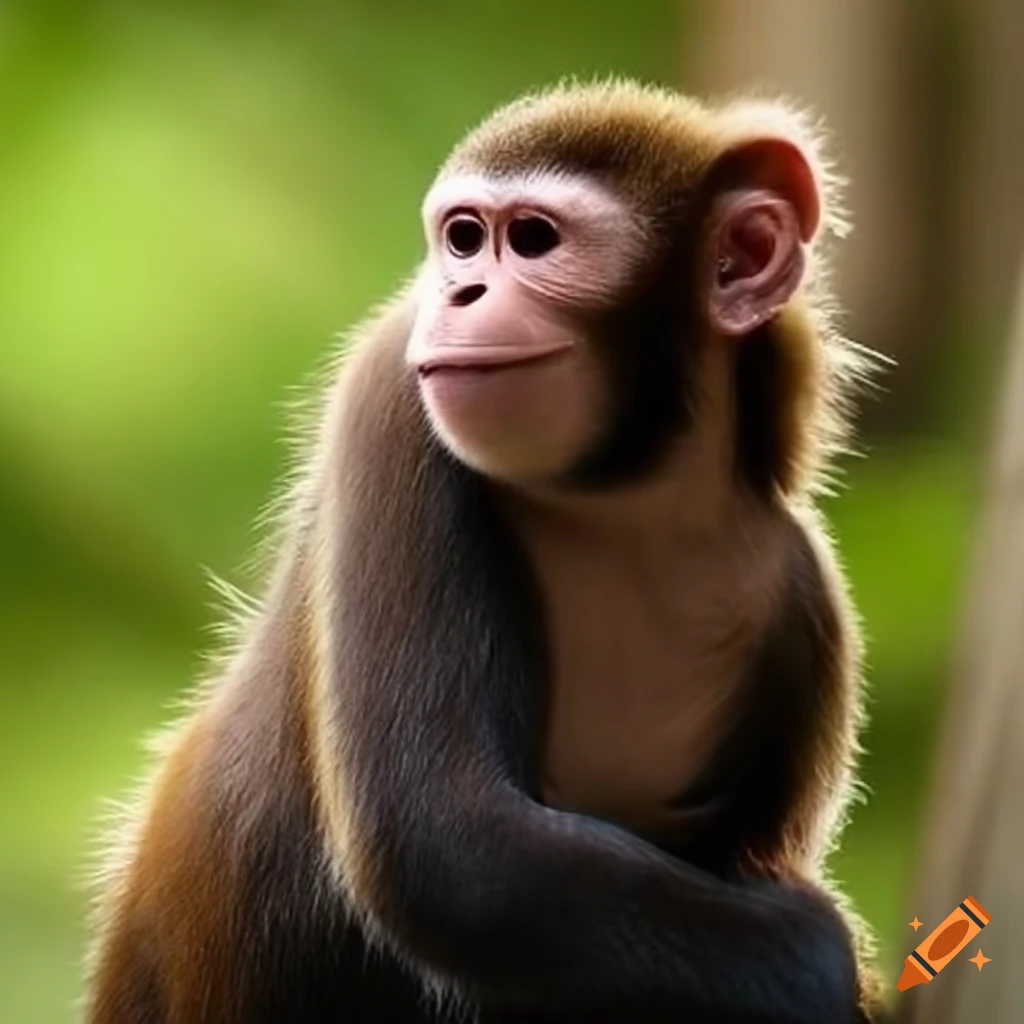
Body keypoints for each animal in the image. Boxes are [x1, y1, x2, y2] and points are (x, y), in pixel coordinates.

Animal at [82, 80, 886, 1024]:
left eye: (531, 238)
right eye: (463, 237)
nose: (456, 290)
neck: (623, 499)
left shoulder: (804, 593)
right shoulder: (391, 392)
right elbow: (456, 852)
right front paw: (824, 965)